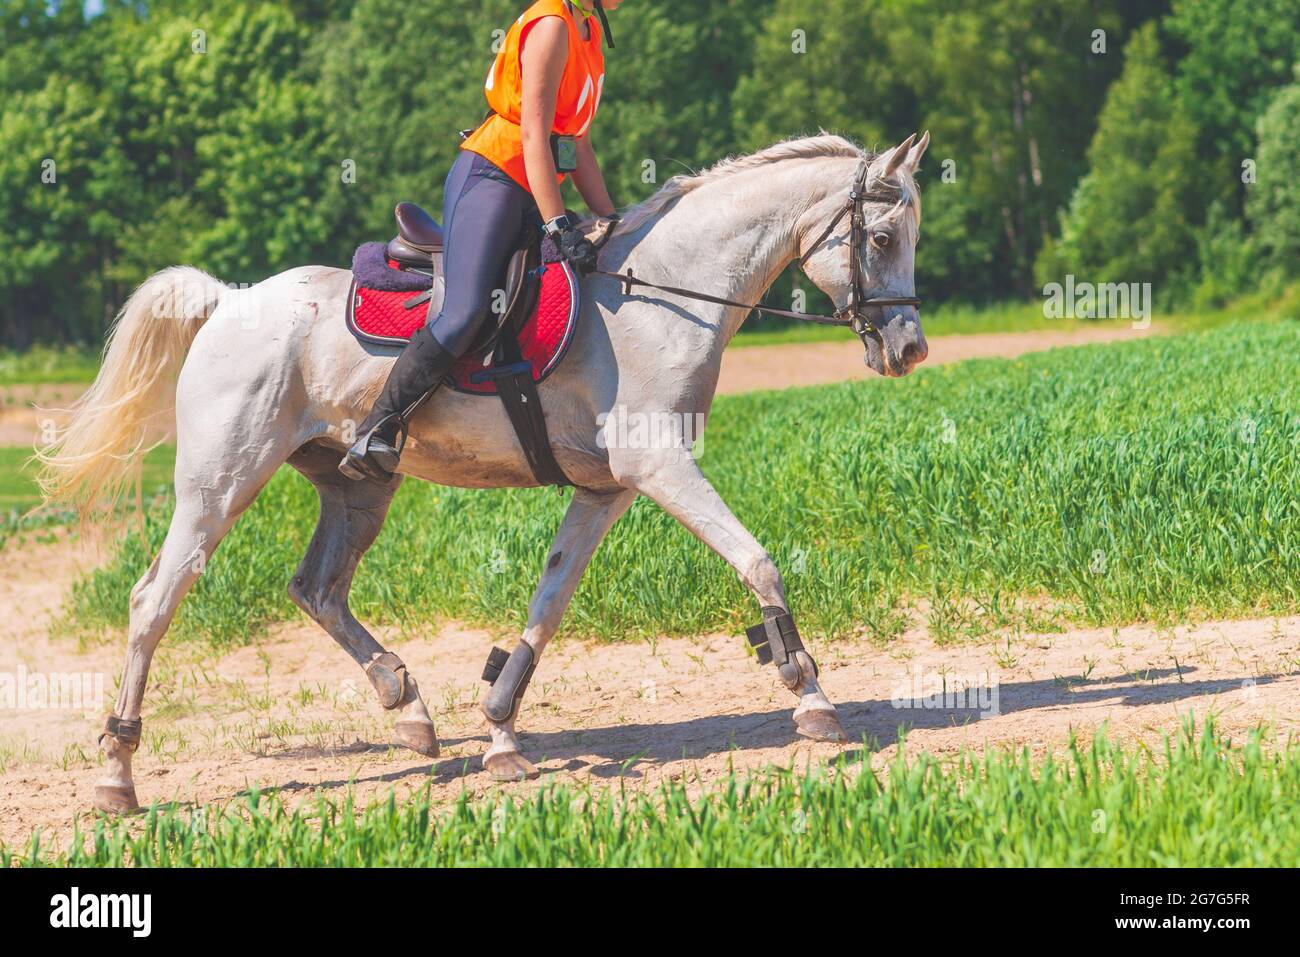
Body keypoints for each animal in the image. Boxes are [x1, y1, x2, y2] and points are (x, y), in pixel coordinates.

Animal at [39, 132, 930, 813]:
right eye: (882, 239)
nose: (912, 349)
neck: (664, 293)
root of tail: (229, 300)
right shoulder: (662, 466)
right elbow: (757, 560)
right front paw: (810, 694)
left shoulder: (607, 489)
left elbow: (549, 601)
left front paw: (500, 730)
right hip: (219, 484)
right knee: (153, 602)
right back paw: (117, 776)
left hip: (358, 484)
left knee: (317, 587)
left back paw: (408, 705)